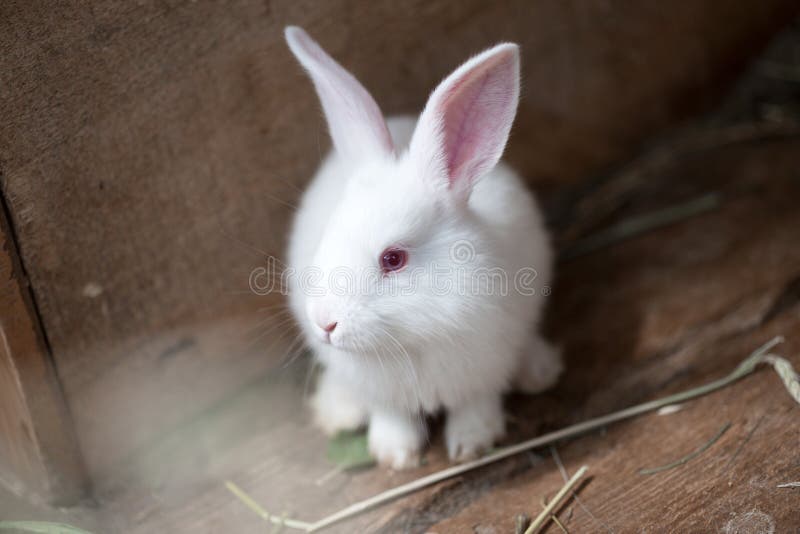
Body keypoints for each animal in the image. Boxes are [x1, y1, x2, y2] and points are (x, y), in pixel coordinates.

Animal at [283, 26, 562, 469]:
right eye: (328, 235)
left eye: (393, 258)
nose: (325, 324)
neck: (414, 333)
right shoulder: (382, 394)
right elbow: (391, 416)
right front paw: (394, 455)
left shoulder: (483, 369)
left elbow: (476, 405)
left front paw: (472, 444)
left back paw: (539, 371)